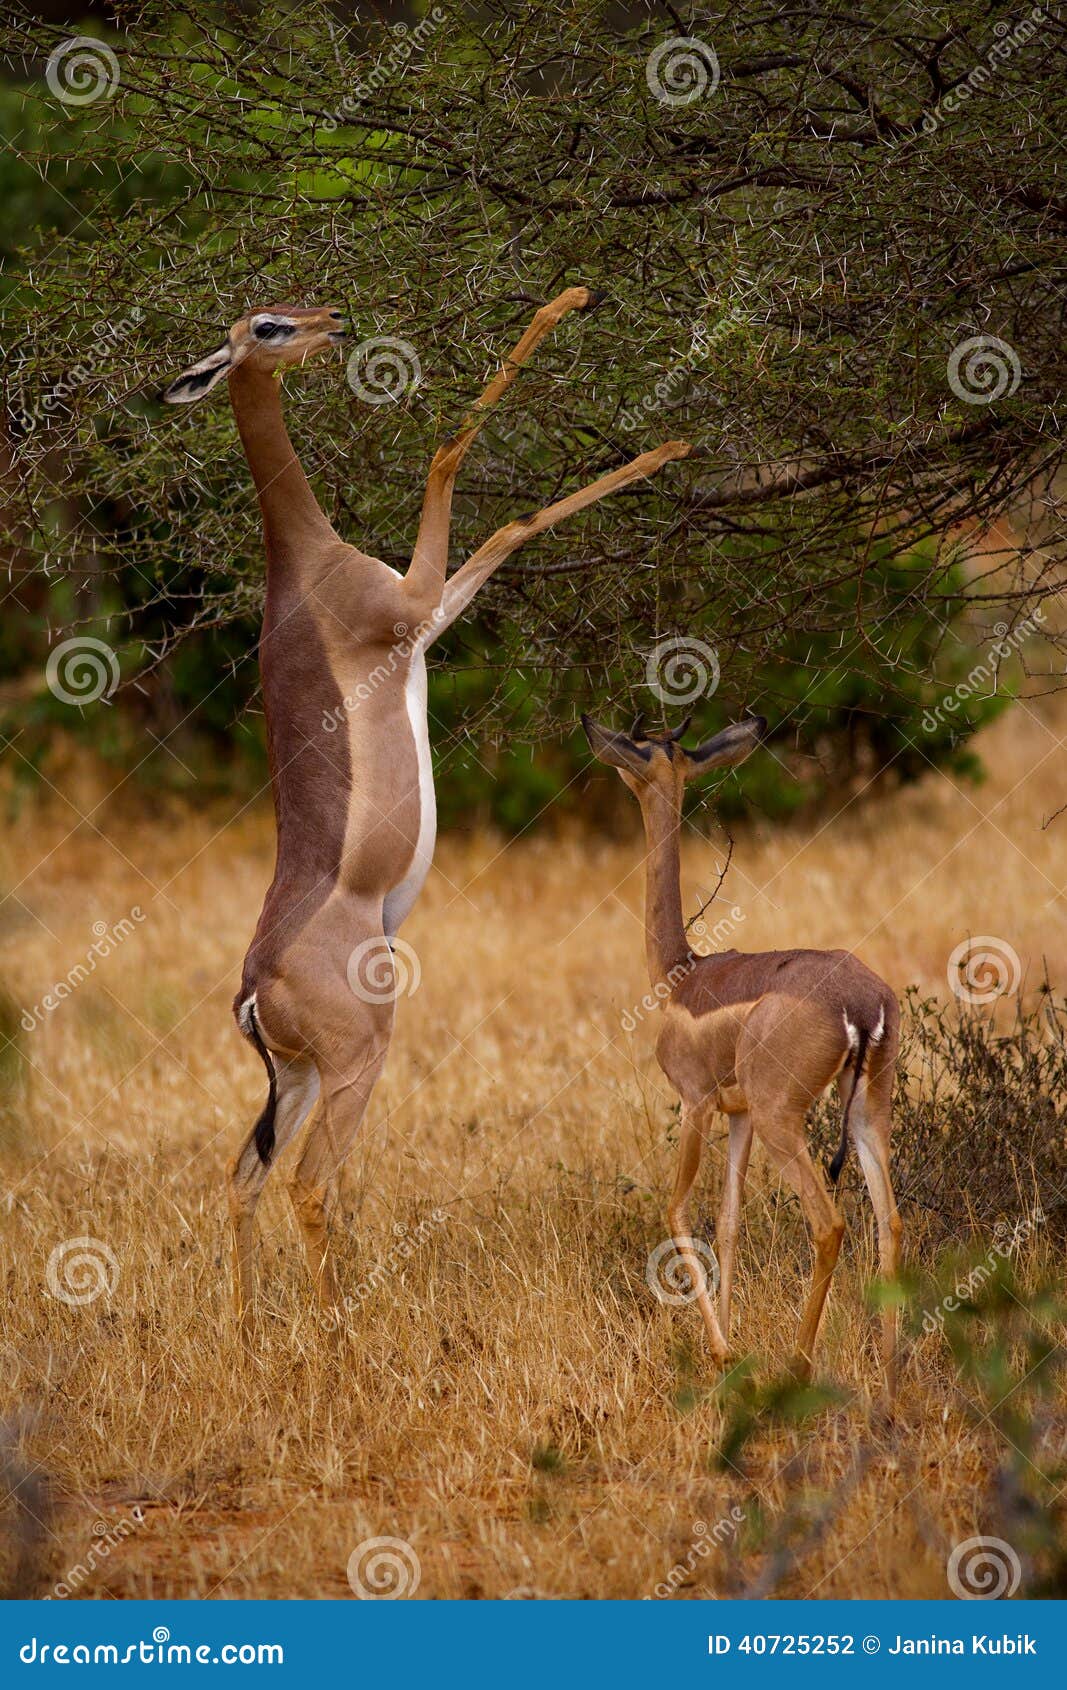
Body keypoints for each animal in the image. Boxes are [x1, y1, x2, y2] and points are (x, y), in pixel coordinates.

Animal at [163, 289, 690, 1335]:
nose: (332, 320)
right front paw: (661, 436)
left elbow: (502, 523)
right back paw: (339, 1338)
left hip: (296, 1077)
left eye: (282, 307)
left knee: (244, 1177)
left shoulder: (432, 616)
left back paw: (245, 1336)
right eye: (266, 328)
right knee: (309, 1183)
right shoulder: (414, 604)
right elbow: (475, 485)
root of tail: (253, 986)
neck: (306, 563)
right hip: (359, 1059)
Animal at [582, 713, 902, 1385]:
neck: (681, 974)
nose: (599, 733)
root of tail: (861, 1002)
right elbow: (729, 1221)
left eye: (641, 751)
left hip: (787, 1120)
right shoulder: (740, 1117)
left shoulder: (697, 1105)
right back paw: (889, 1375)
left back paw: (799, 1365)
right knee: (889, 1222)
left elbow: (677, 1212)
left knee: (830, 1224)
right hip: (867, 1111)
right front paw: (729, 1341)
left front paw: (723, 1350)